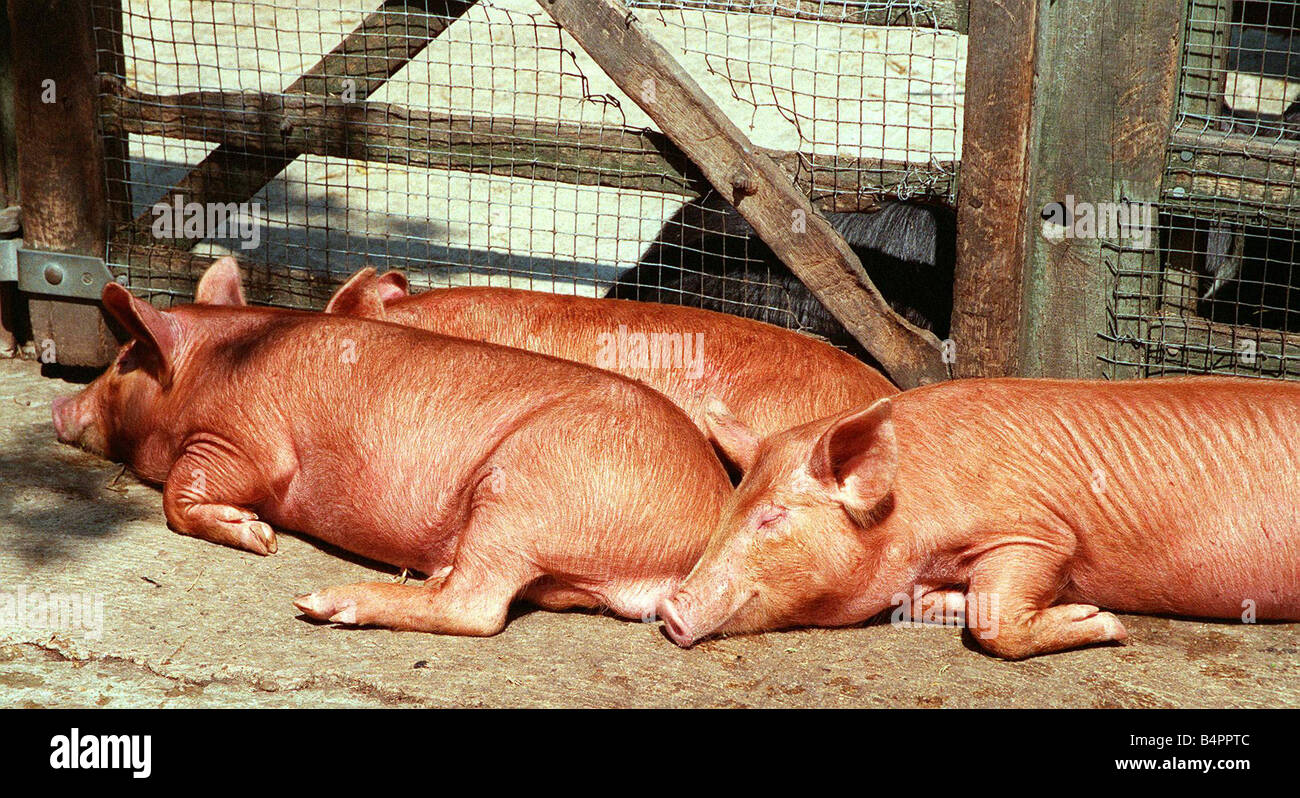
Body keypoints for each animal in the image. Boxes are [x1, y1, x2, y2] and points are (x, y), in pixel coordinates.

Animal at [51, 263, 732, 634]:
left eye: (121, 360)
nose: (57, 409)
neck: (210, 365)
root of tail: (711, 513)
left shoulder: (242, 441)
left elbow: (177, 493)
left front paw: (260, 537)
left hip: (528, 487)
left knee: (478, 605)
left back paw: (321, 603)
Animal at [658, 377, 1300, 658]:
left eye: (771, 518)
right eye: (732, 508)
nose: (667, 610)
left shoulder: (1040, 532)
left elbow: (994, 619)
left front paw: (1107, 623)